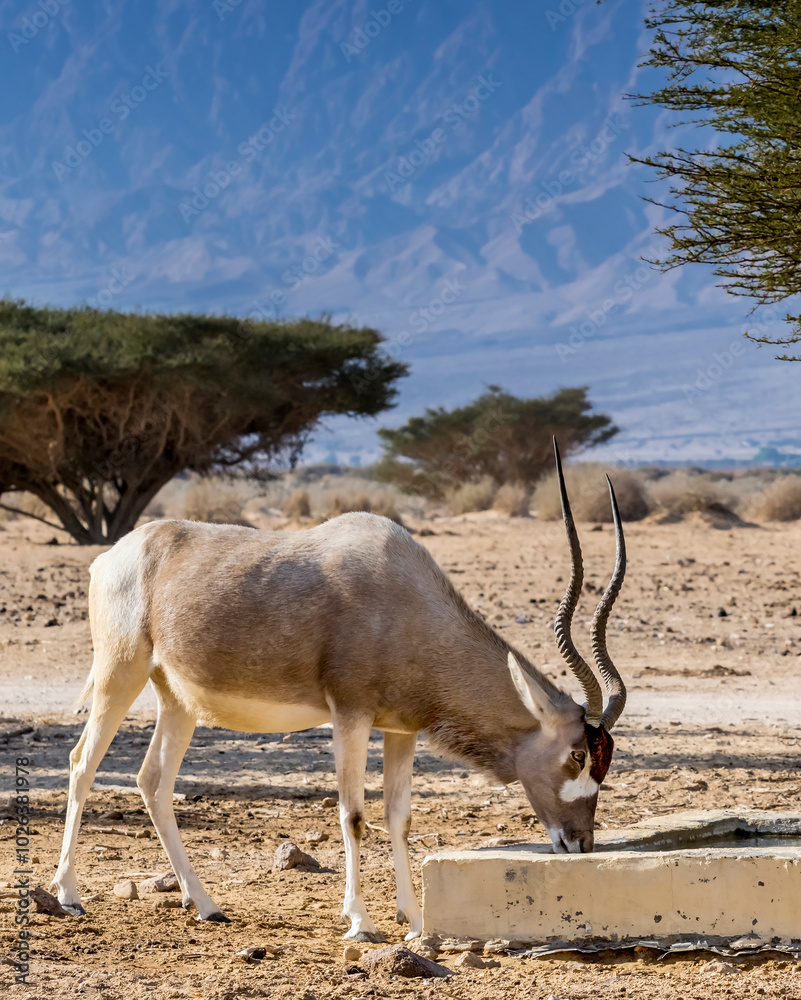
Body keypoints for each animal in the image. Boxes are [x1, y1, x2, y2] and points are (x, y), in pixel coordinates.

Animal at [52, 440, 627, 942]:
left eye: (604, 759)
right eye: (577, 754)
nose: (580, 843)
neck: (405, 598)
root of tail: (112, 556)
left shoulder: (400, 730)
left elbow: (399, 817)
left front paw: (415, 921)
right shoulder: (350, 715)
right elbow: (353, 814)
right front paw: (361, 922)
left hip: (178, 701)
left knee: (153, 781)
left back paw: (207, 905)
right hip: (120, 674)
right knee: (82, 762)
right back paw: (68, 895)